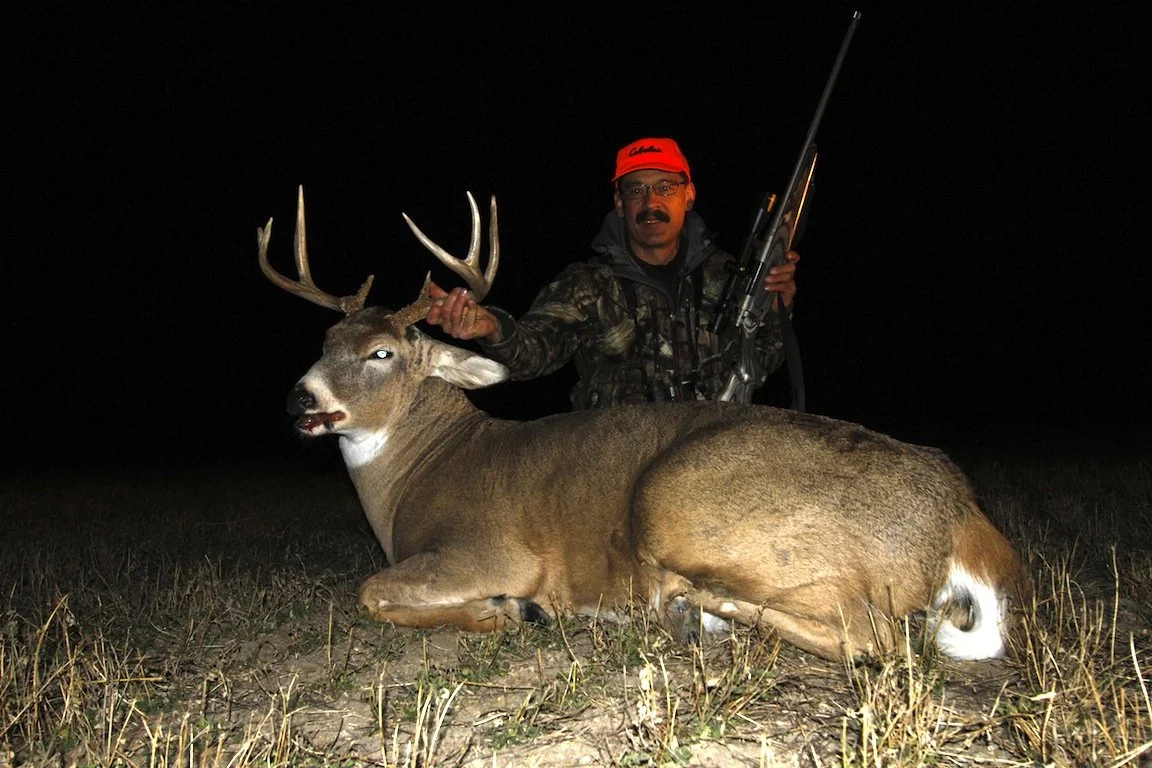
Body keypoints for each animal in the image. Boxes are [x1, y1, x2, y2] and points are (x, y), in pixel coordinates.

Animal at [257, 186, 1031, 662]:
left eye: (382, 353)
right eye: (324, 342)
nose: (299, 400)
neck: (419, 472)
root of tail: (959, 508)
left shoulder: (491, 549)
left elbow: (369, 591)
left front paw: (503, 612)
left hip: (676, 498)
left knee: (876, 636)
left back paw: (689, 606)